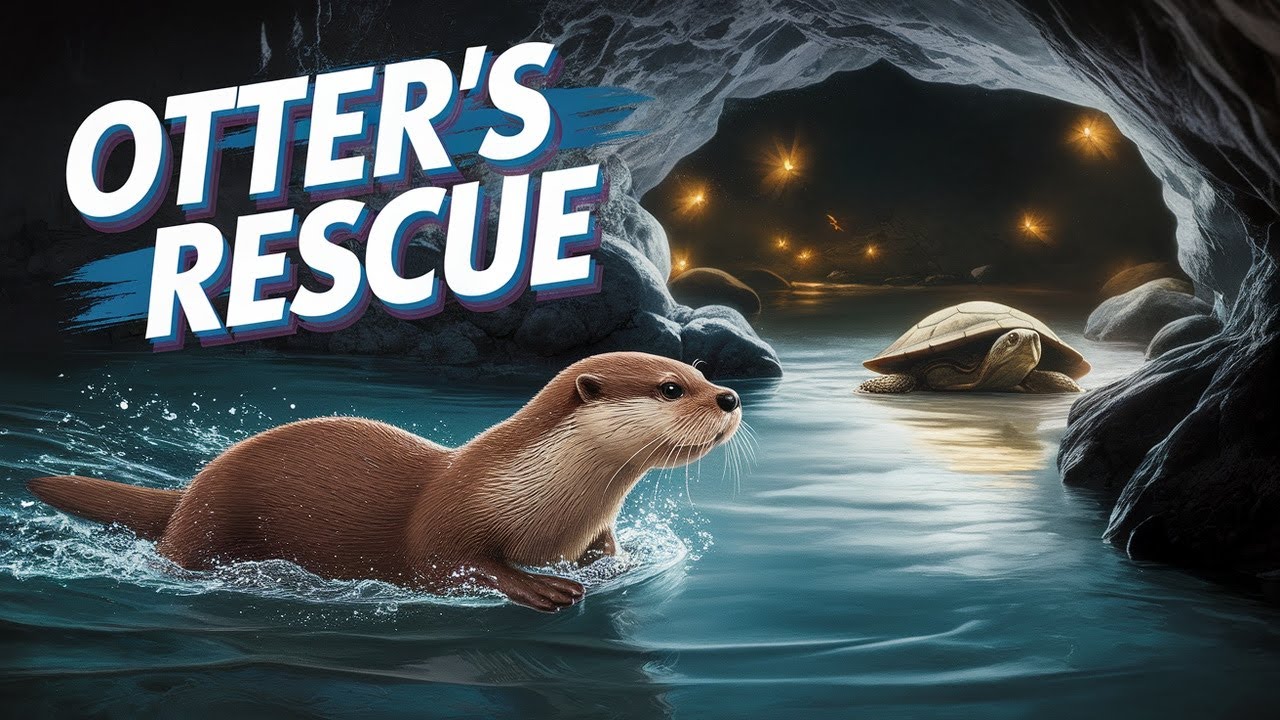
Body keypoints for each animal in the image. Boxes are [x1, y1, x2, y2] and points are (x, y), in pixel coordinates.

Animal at [27, 352, 742, 611]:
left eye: (701, 371)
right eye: (672, 387)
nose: (730, 397)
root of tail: (189, 490)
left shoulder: (592, 532)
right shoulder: (451, 517)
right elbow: (444, 561)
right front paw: (541, 588)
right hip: (210, 523)